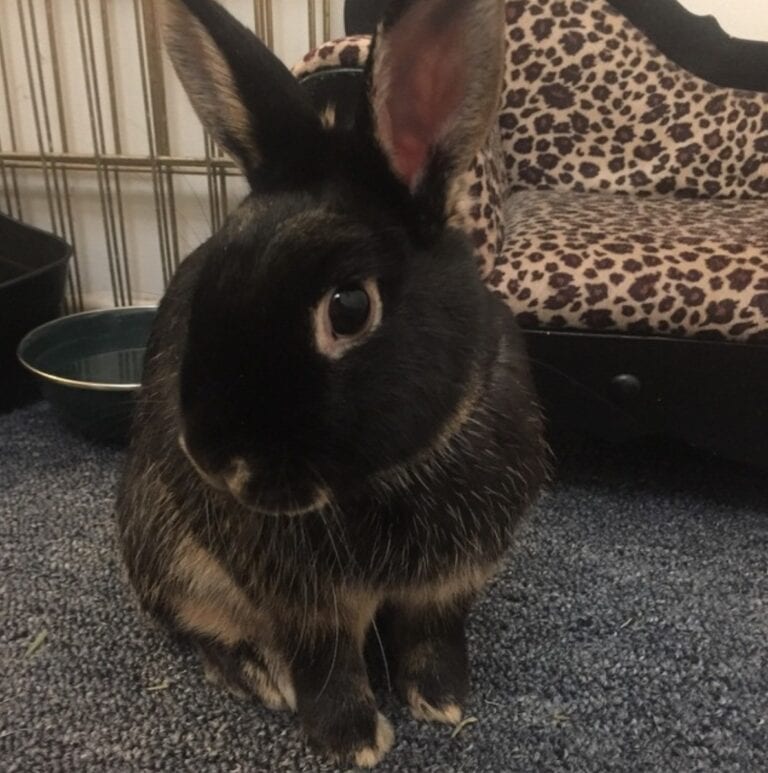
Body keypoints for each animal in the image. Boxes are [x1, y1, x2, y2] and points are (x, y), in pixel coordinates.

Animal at [116, 0, 549, 766]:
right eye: (207, 279)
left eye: (348, 309)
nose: (213, 458)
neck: (391, 475)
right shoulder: (304, 597)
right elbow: (326, 660)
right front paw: (354, 740)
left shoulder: (450, 583)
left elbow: (432, 635)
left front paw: (443, 701)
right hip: (169, 546)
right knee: (193, 621)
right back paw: (256, 673)